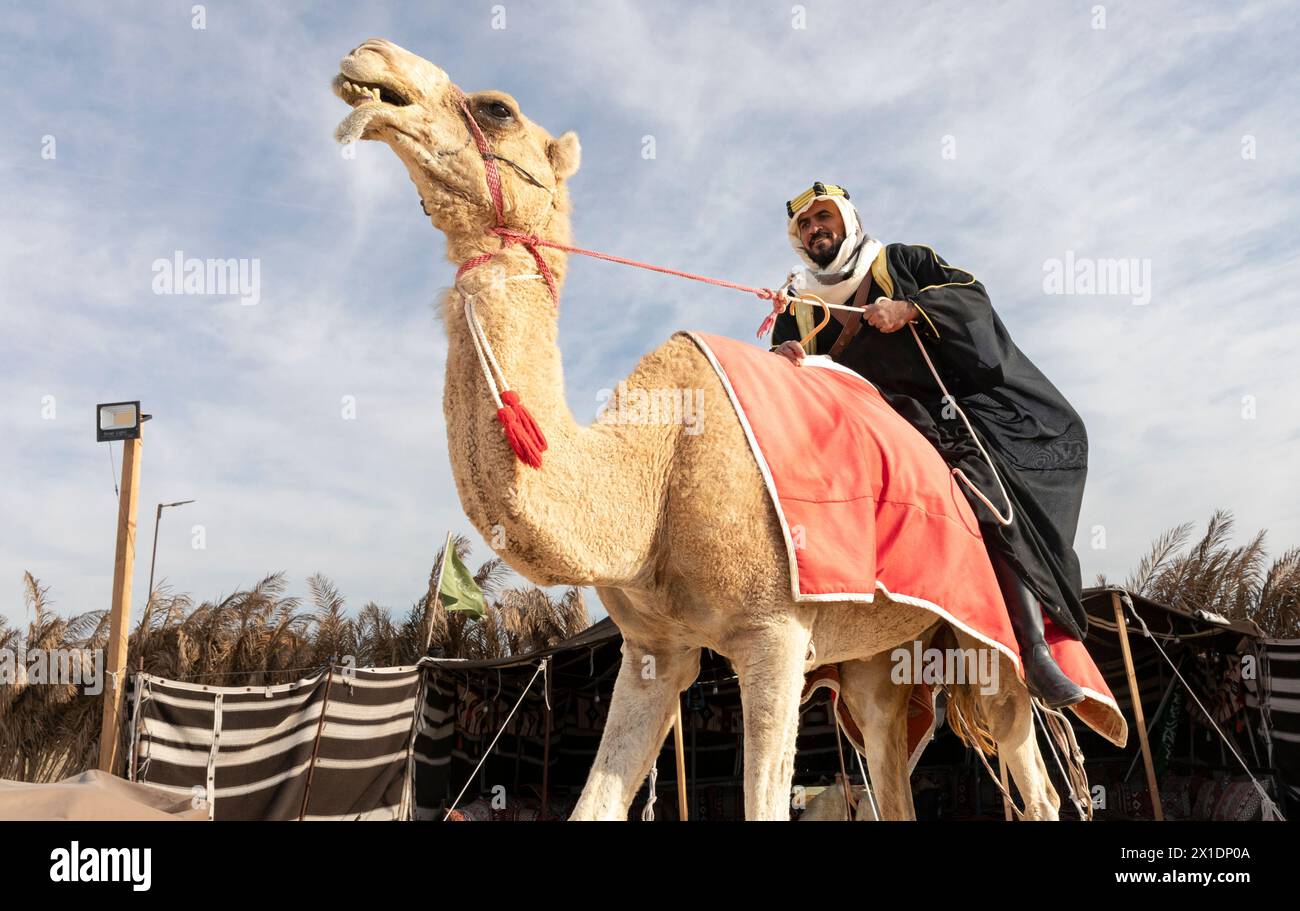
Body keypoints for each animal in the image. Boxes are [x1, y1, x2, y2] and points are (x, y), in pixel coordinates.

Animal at [330, 38, 1059, 820]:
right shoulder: (653, 649)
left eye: (498, 108)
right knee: (891, 764)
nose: (370, 60)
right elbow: (595, 802)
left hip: (986, 638)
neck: (655, 468)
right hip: (875, 663)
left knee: (1033, 772)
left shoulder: (776, 635)